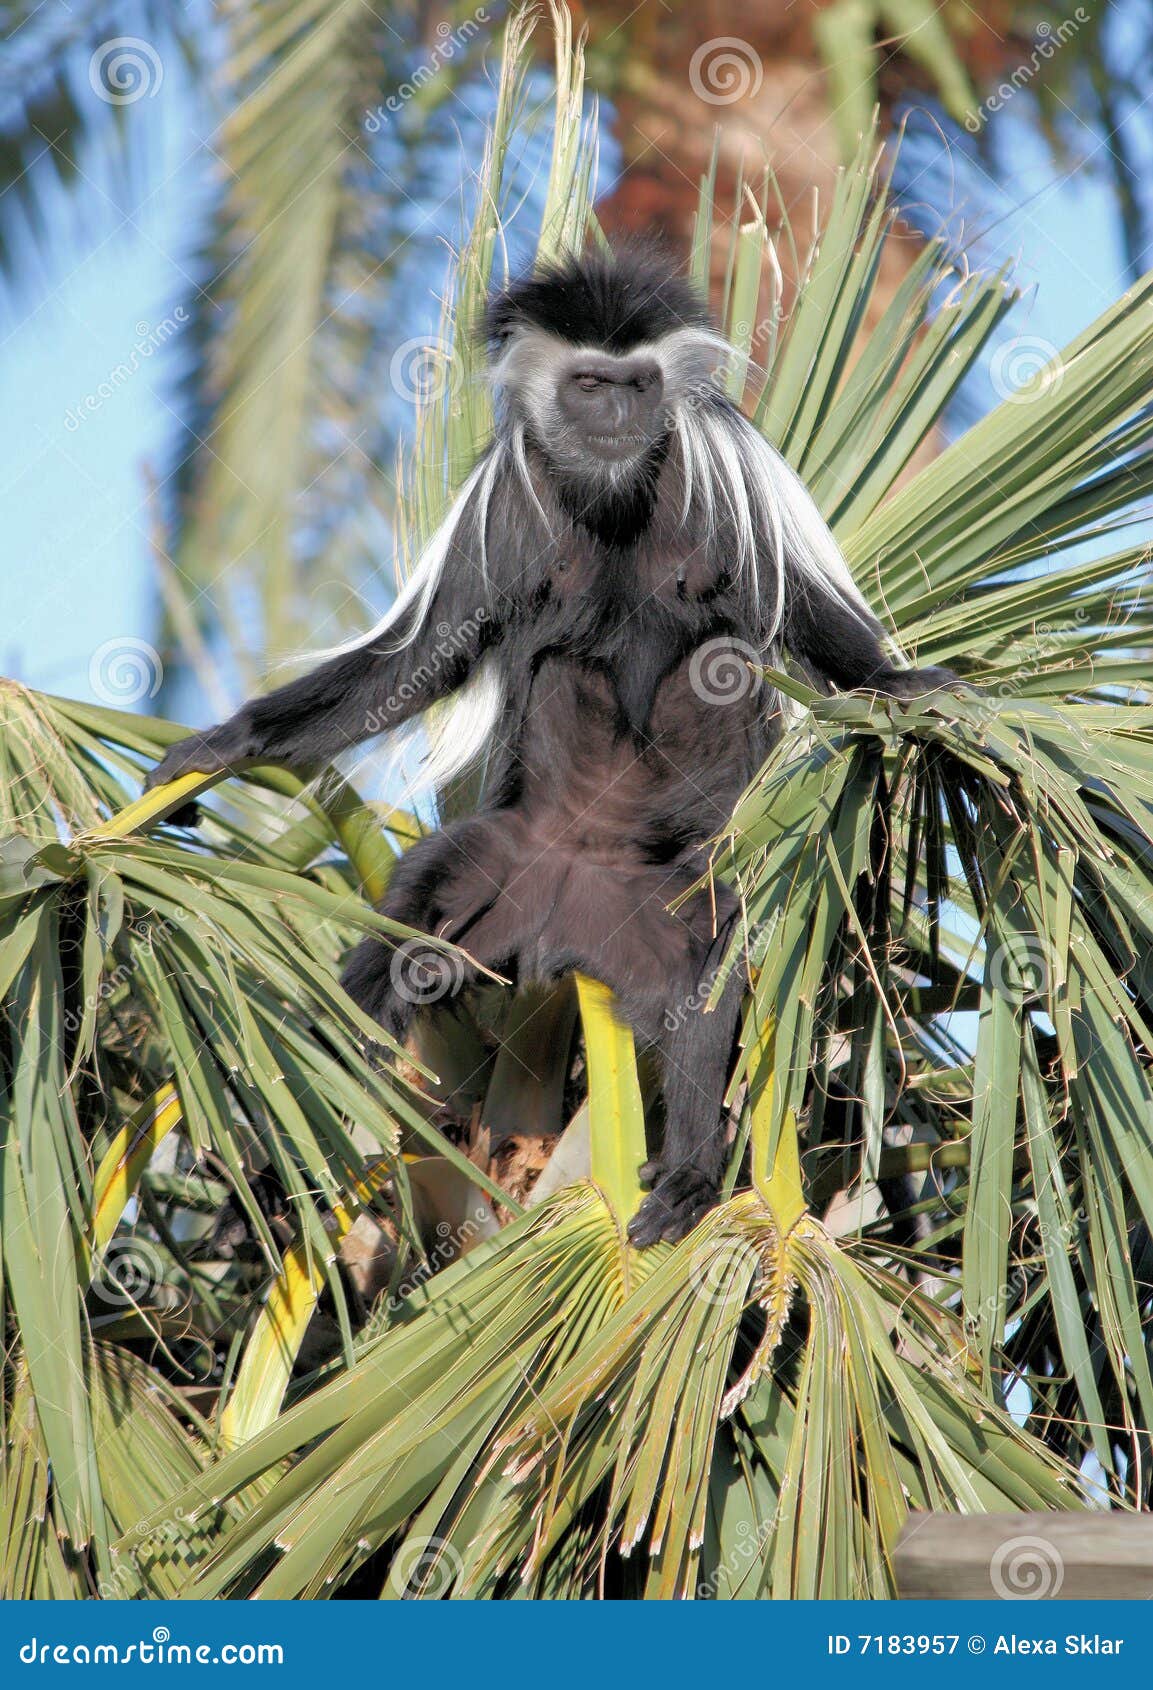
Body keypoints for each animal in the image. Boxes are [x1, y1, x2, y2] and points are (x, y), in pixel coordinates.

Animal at [147, 247, 957, 1247]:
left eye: (636, 385)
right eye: (588, 384)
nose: (616, 418)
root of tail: (561, 916)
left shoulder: (724, 462)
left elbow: (801, 610)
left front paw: (903, 689)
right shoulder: (505, 486)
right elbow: (419, 655)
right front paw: (231, 741)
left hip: (660, 900)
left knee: (704, 970)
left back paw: (687, 1174)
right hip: (494, 866)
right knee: (390, 949)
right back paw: (269, 1182)